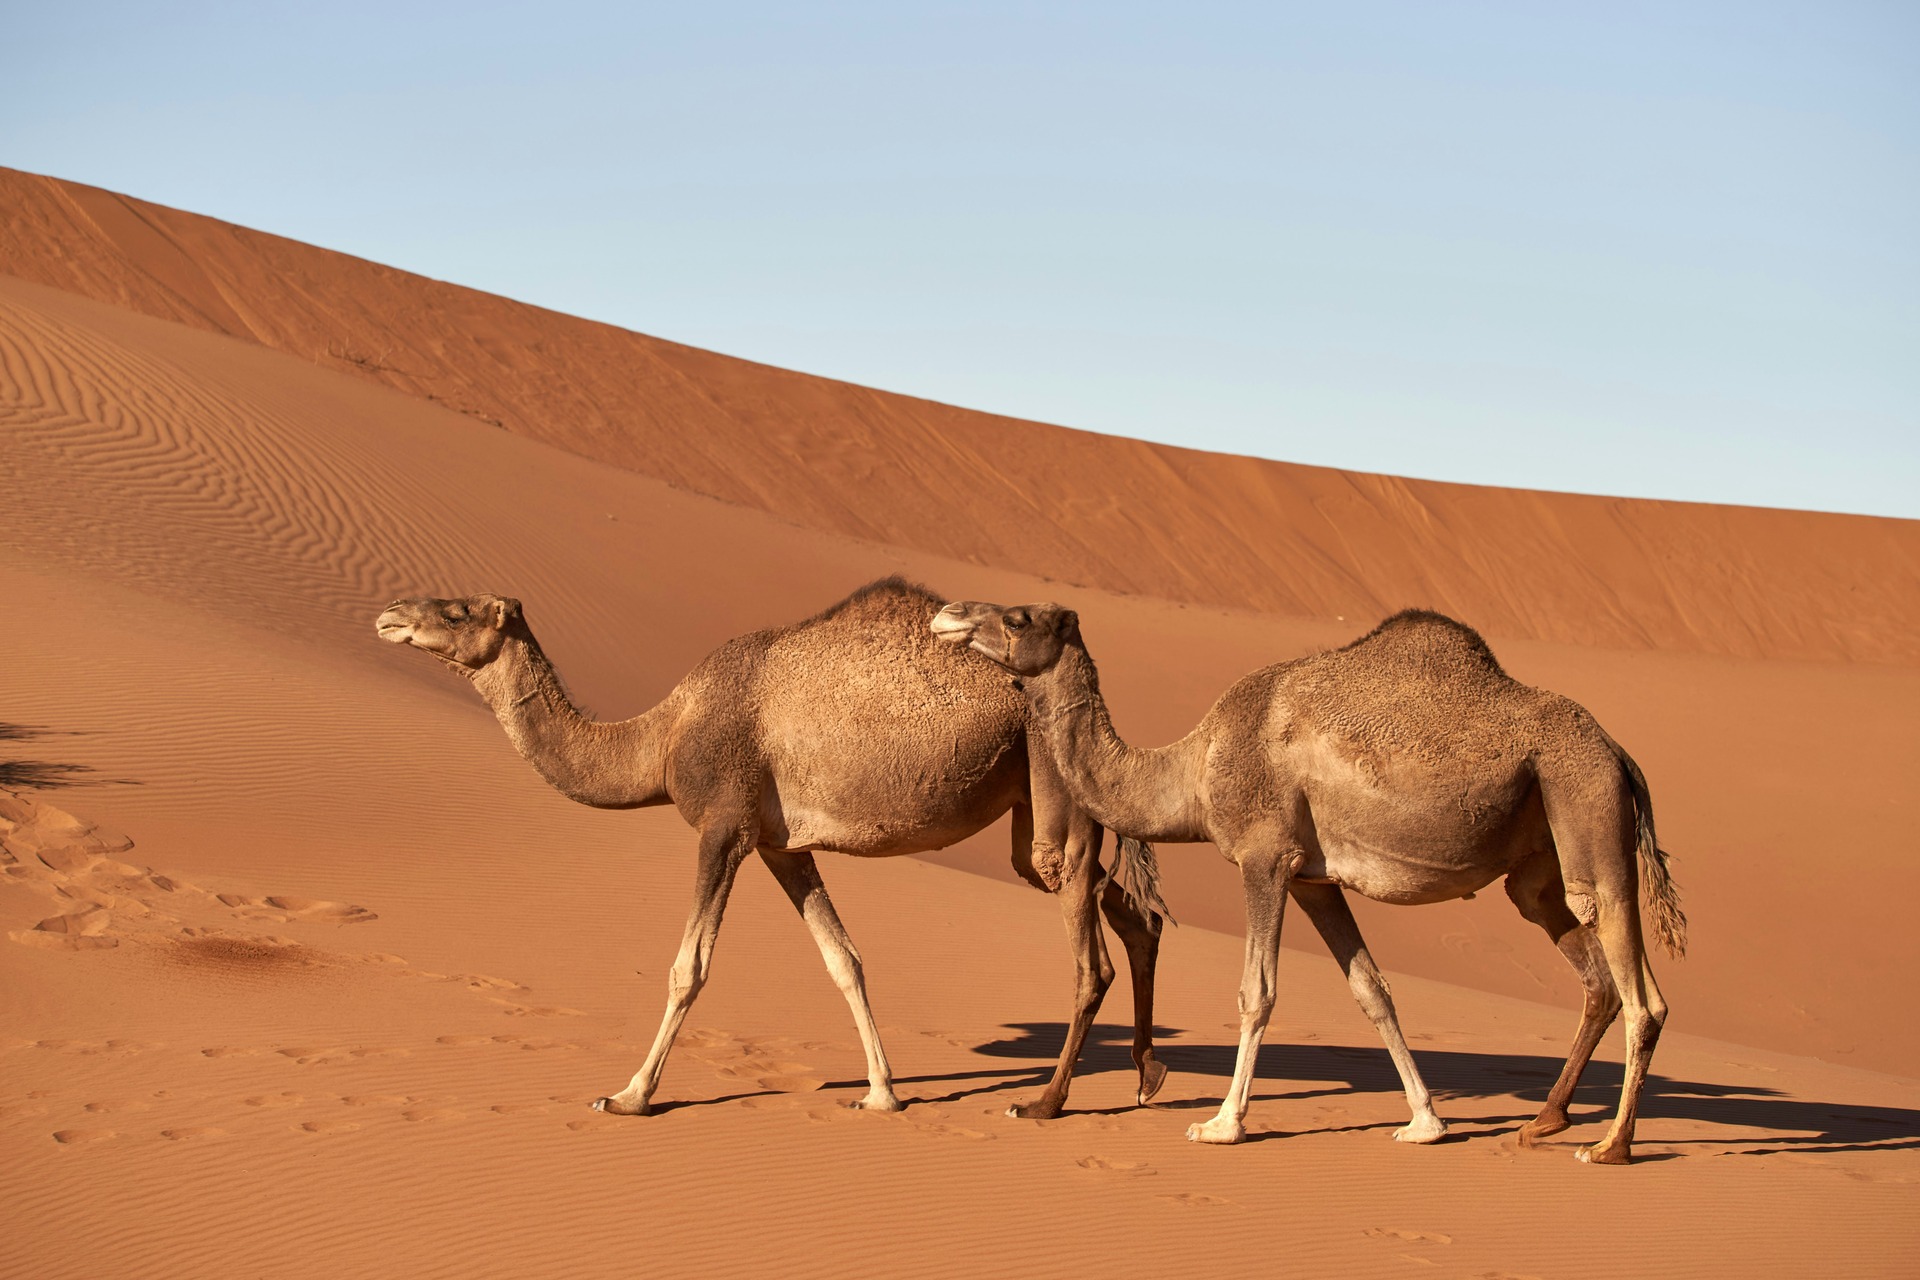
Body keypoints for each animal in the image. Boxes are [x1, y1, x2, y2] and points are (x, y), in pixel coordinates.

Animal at [376, 578, 1170, 1120]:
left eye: (457, 611)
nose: (391, 614)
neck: (662, 736)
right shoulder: (779, 844)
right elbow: (843, 958)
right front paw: (882, 1093)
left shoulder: (723, 824)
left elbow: (688, 967)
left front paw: (630, 1094)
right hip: (1031, 813)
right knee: (1134, 912)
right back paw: (1147, 1075)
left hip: (1054, 797)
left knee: (1089, 949)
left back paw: (1049, 1102)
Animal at [931, 600, 1686, 1164]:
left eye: (1018, 617)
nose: (948, 614)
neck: (1194, 768)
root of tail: (1621, 755)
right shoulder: (1313, 878)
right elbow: (1372, 990)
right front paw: (1425, 1122)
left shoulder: (1263, 857)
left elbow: (1256, 991)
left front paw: (1222, 1124)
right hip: (1539, 867)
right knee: (1592, 974)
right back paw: (1545, 1121)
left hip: (1585, 804)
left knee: (1641, 991)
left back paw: (1612, 1146)